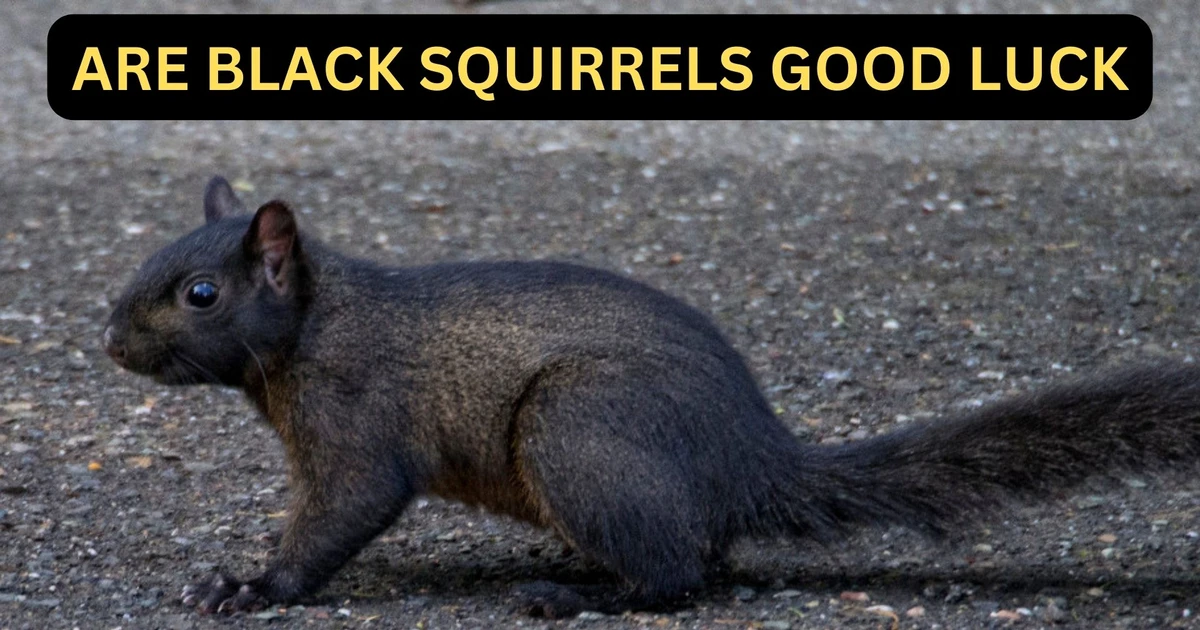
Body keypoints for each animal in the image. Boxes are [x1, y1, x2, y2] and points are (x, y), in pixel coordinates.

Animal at [102, 175, 1200, 617]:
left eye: (200, 294)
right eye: (147, 257)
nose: (108, 340)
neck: (317, 327)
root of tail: (754, 462)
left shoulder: (355, 420)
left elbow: (344, 511)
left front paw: (252, 586)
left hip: (578, 427)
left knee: (678, 575)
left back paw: (571, 595)